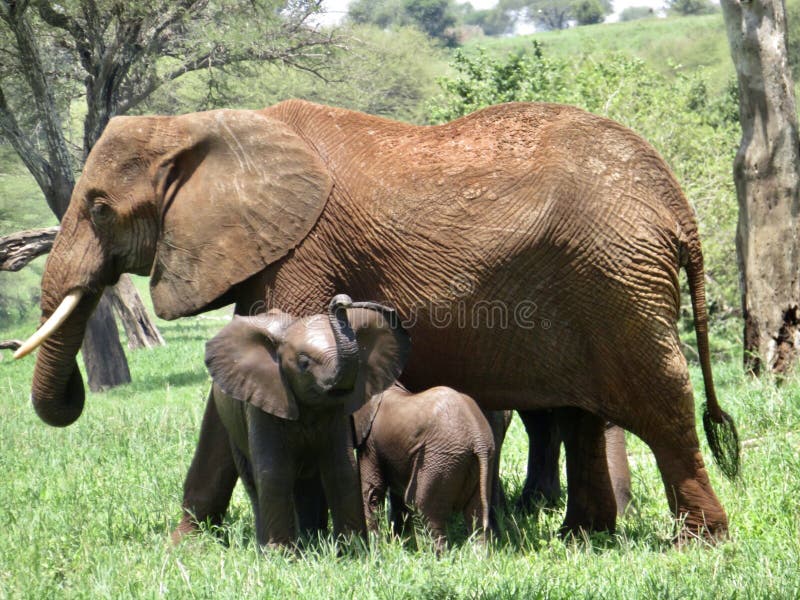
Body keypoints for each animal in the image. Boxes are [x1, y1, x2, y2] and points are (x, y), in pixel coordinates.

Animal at [202, 295, 410, 547]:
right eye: (304, 363)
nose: (343, 301)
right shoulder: (265, 400)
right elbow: (274, 472)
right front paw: (280, 553)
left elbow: (342, 468)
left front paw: (353, 550)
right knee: (253, 480)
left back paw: (310, 540)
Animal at [352, 383, 496, 550]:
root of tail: (478, 439)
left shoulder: (370, 443)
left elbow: (371, 492)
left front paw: (374, 547)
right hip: (482, 461)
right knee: (476, 513)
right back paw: (478, 554)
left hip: (441, 458)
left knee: (421, 504)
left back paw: (433, 555)